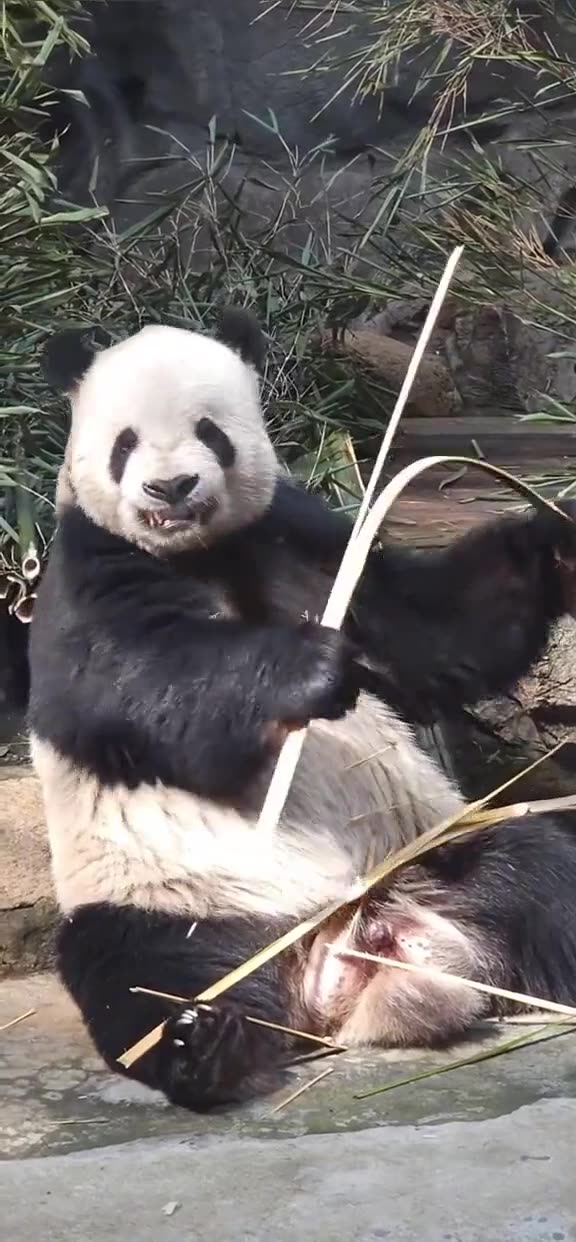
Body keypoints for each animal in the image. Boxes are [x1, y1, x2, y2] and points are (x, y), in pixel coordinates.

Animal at [29, 307, 576, 1112]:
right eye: (125, 443)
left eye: (209, 431)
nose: (171, 487)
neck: (199, 551)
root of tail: (346, 949)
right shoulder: (86, 571)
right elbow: (136, 683)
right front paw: (309, 669)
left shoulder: (297, 535)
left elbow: (431, 629)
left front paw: (560, 539)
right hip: (173, 899)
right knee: (138, 974)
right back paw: (201, 1044)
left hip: (430, 852)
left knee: (539, 877)